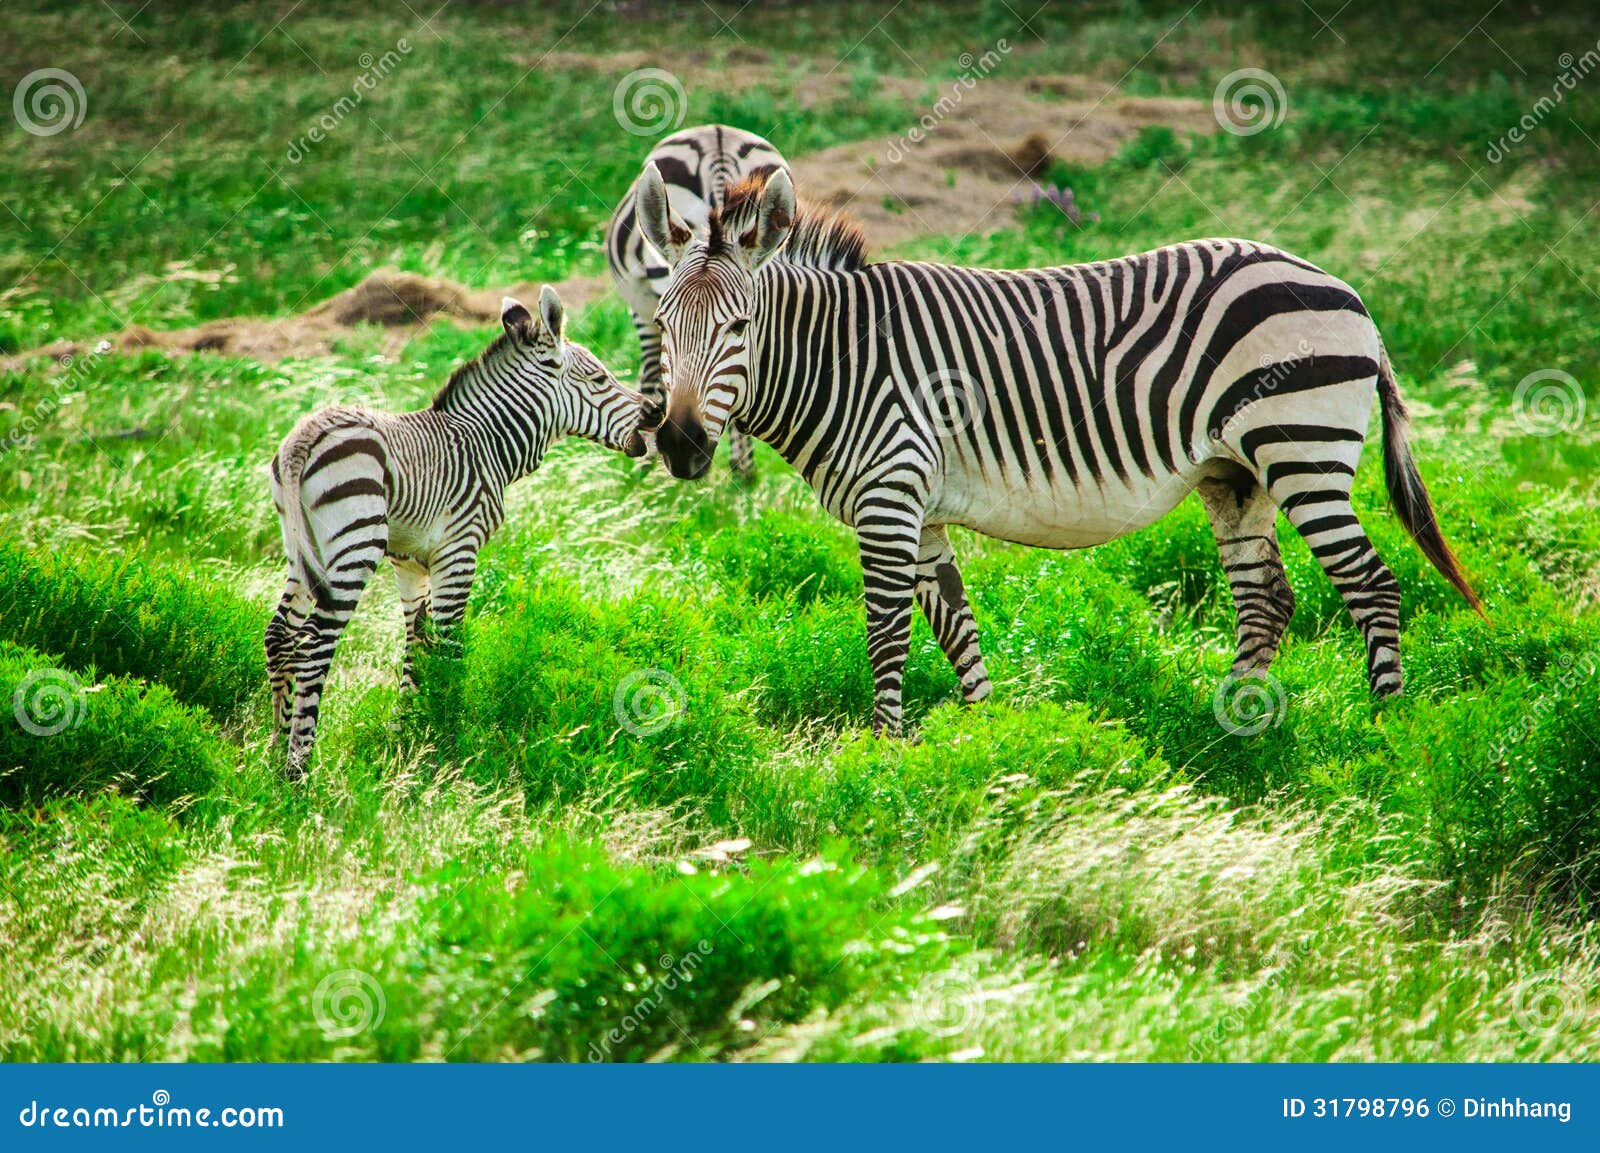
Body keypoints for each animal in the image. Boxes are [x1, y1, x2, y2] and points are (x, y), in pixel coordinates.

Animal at [265, 288, 645, 774]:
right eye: (598, 378)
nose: (653, 421)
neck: (488, 443)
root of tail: (302, 441)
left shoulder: (410, 563)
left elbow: (417, 642)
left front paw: (407, 734)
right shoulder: (459, 551)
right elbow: (450, 646)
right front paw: (449, 741)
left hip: (302, 548)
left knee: (281, 636)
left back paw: (274, 752)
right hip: (356, 544)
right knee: (315, 643)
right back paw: (299, 765)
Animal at [634, 165, 1482, 734]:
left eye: (738, 328)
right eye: (663, 324)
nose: (678, 442)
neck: (844, 358)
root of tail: (1347, 291)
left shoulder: (890, 498)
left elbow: (885, 631)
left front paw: (883, 752)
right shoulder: (921, 510)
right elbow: (956, 627)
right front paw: (988, 740)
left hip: (1301, 451)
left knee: (1371, 585)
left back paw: (1382, 731)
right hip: (1234, 473)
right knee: (1265, 598)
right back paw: (1233, 725)